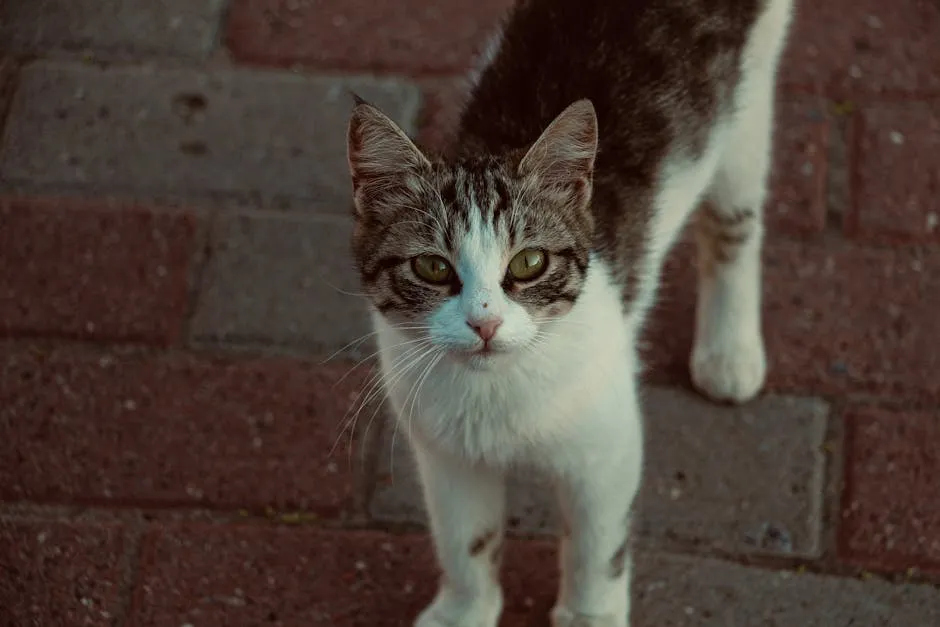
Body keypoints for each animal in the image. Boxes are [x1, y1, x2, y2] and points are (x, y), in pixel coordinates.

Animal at [346, 0, 792, 624]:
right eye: (432, 268)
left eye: (529, 262)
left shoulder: (605, 450)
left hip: (745, 109)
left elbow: (595, 546)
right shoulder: (444, 451)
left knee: (735, 223)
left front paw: (589, 613)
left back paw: (729, 351)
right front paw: (464, 609)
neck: (497, 393)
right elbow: (466, 541)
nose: (484, 323)